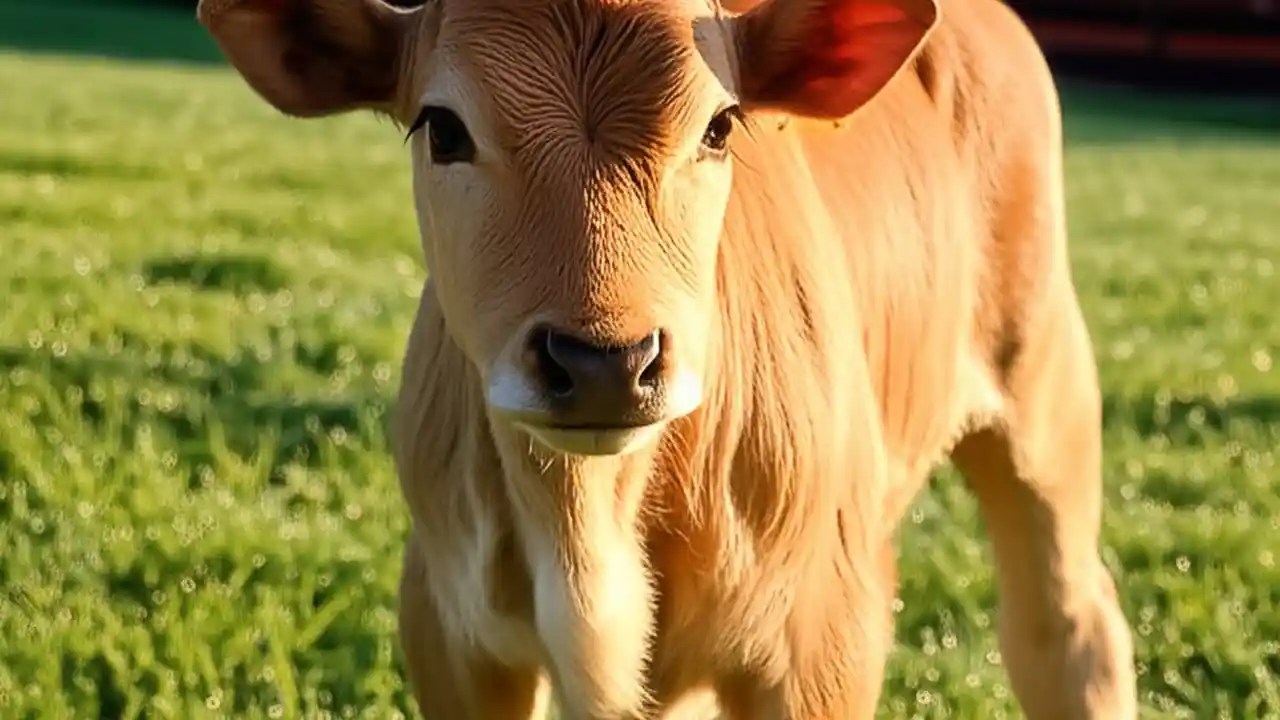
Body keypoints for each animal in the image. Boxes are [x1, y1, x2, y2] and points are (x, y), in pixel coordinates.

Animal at [198, 0, 1139, 717]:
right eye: (443, 128)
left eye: (719, 126)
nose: (605, 362)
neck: (589, 532)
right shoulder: (448, 620)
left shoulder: (824, 635)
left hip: (1045, 398)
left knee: (1064, 628)